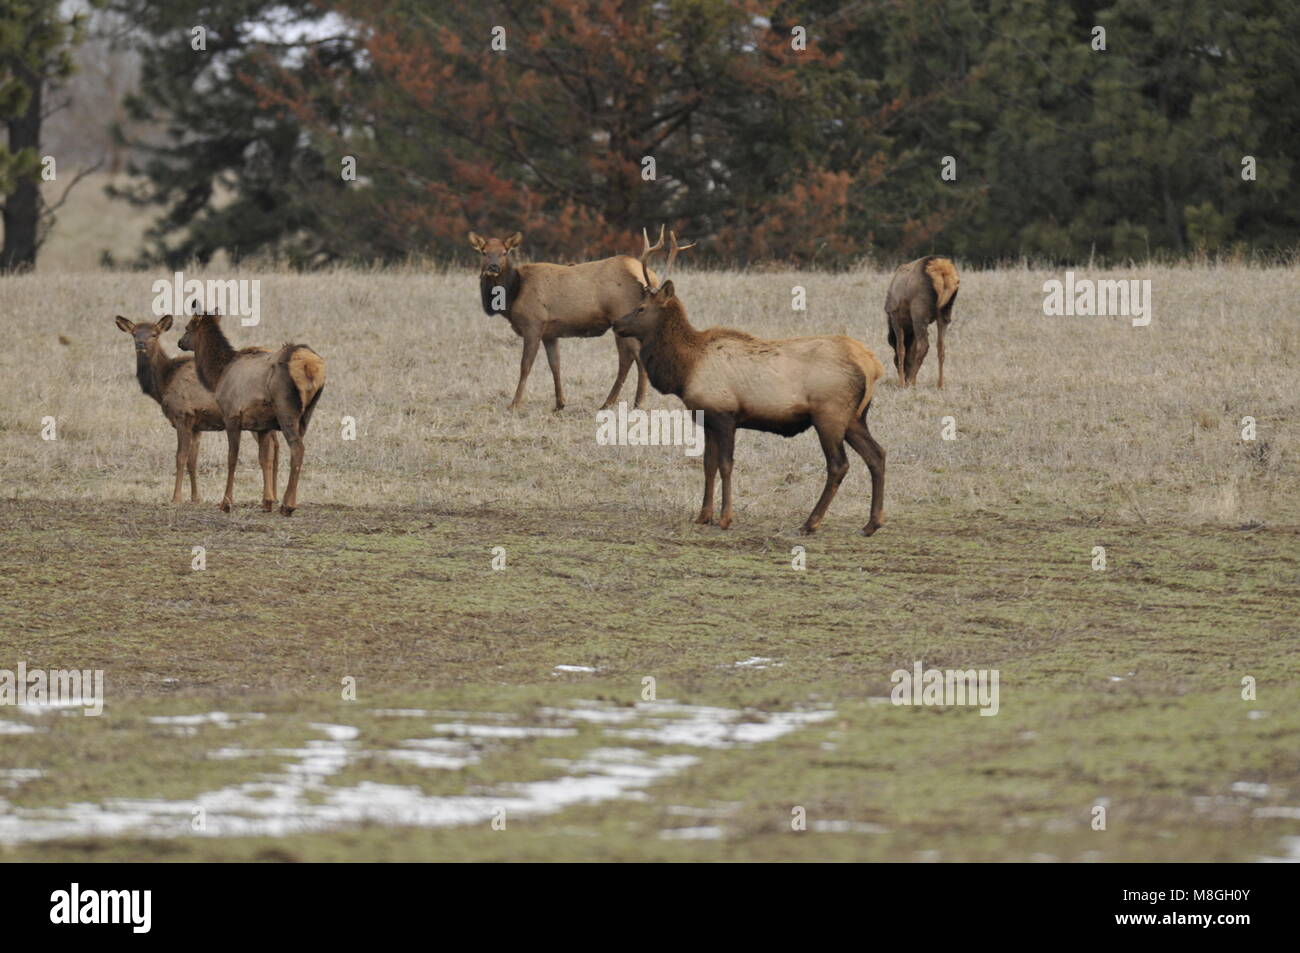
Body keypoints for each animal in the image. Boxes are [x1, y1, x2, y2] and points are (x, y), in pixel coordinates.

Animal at [114, 314, 243, 503]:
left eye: (154, 334)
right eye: (134, 333)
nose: (141, 344)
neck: (164, 382)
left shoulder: (182, 415)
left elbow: (180, 457)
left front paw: (176, 497)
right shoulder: (197, 425)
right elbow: (193, 460)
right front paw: (196, 497)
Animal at [177, 313, 325, 516]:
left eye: (187, 327)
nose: (180, 342)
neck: (218, 374)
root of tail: (310, 366)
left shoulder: (231, 416)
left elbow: (232, 458)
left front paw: (226, 502)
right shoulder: (263, 425)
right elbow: (265, 459)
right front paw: (267, 501)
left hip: (286, 410)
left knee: (297, 448)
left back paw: (287, 505)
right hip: (307, 413)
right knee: (299, 449)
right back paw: (288, 502)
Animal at [468, 229, 685, 412]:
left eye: (505, 252)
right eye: (483, 252)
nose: (493, 267)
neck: (513, 294)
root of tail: (650, 279)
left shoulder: (533, 324)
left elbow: (525, 366)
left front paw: (514, 404)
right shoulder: (549, 333)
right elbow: (555, 365)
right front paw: (559, 404)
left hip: (623, 317)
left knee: (633, 358)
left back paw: (635, 403)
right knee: (628, 359)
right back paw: (610, 403)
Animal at [613, 232, 886, 536]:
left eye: (640, 308)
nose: (616, 323)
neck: (686, 369)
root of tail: (873, 365)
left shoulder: (725, 414)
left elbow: (725, 465)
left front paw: (725, 518)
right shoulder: (707, 417)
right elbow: (708, 465)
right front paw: (703, 515)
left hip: (830, 413)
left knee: (839, 464)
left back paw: (811, 522)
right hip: (855, 417)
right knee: (877, 455)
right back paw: (871, 523)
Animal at [884, 255, 960, 388]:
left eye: (894, 361)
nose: (905, 375)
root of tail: (942, 270)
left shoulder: (894, 316)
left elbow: (901, 349)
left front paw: (902, 383)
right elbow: (912, 351)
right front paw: (913, 382)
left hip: (919, 311)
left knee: (924, 345)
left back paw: (909, 382)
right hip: (945, 311)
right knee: (941, 347)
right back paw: (939, 385)